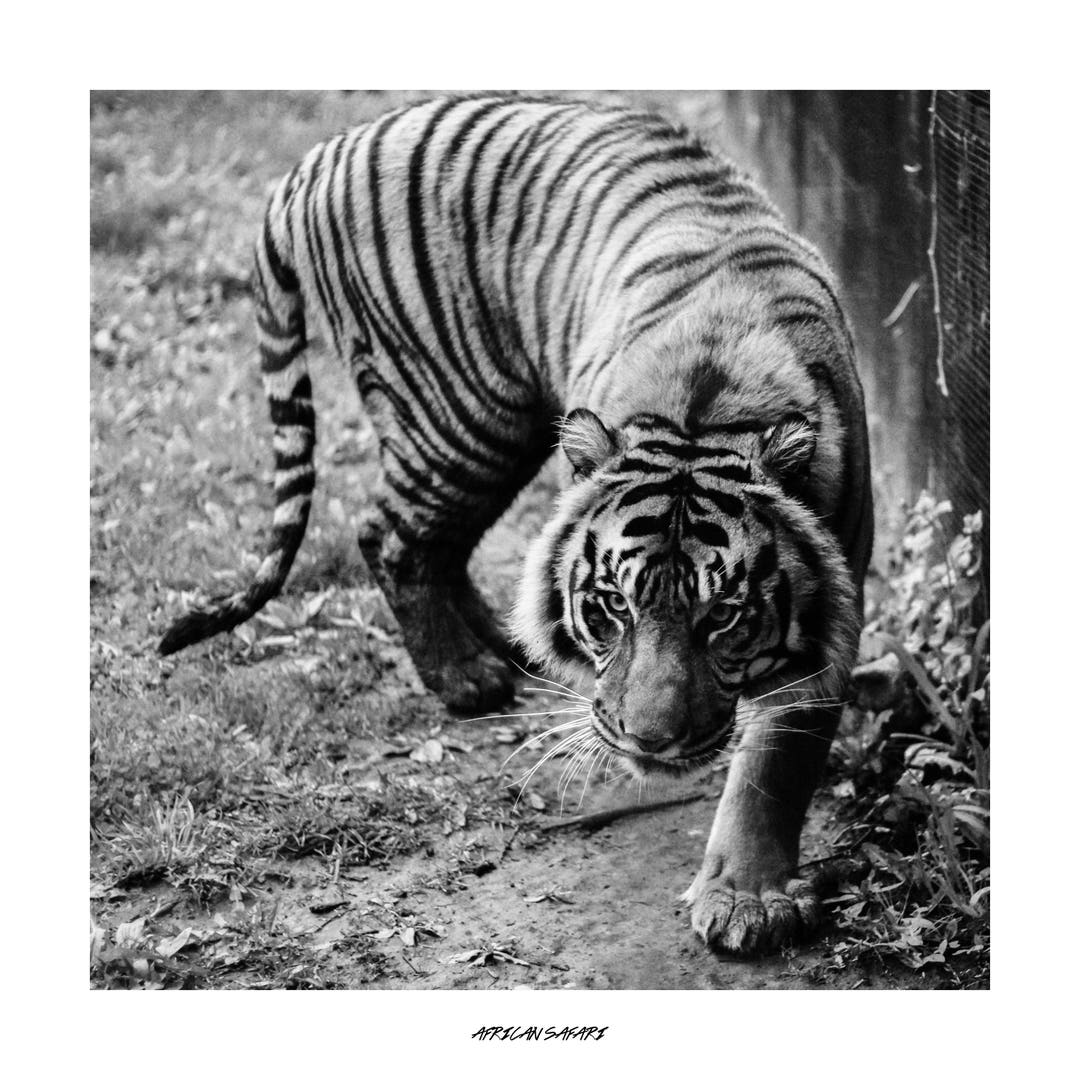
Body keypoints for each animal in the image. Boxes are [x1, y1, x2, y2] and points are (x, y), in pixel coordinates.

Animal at [159, 94, 873, 955]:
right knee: (390, 535)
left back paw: (499, 644)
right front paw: (748, 901)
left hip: (502, 429)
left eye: (724, 617)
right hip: (462, 416)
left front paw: (746, 897)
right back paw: (464, 677)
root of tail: (315, 159)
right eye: (614, 606)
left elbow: (777, 764)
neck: (709, 402)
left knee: (436, 542)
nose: (650, 740)